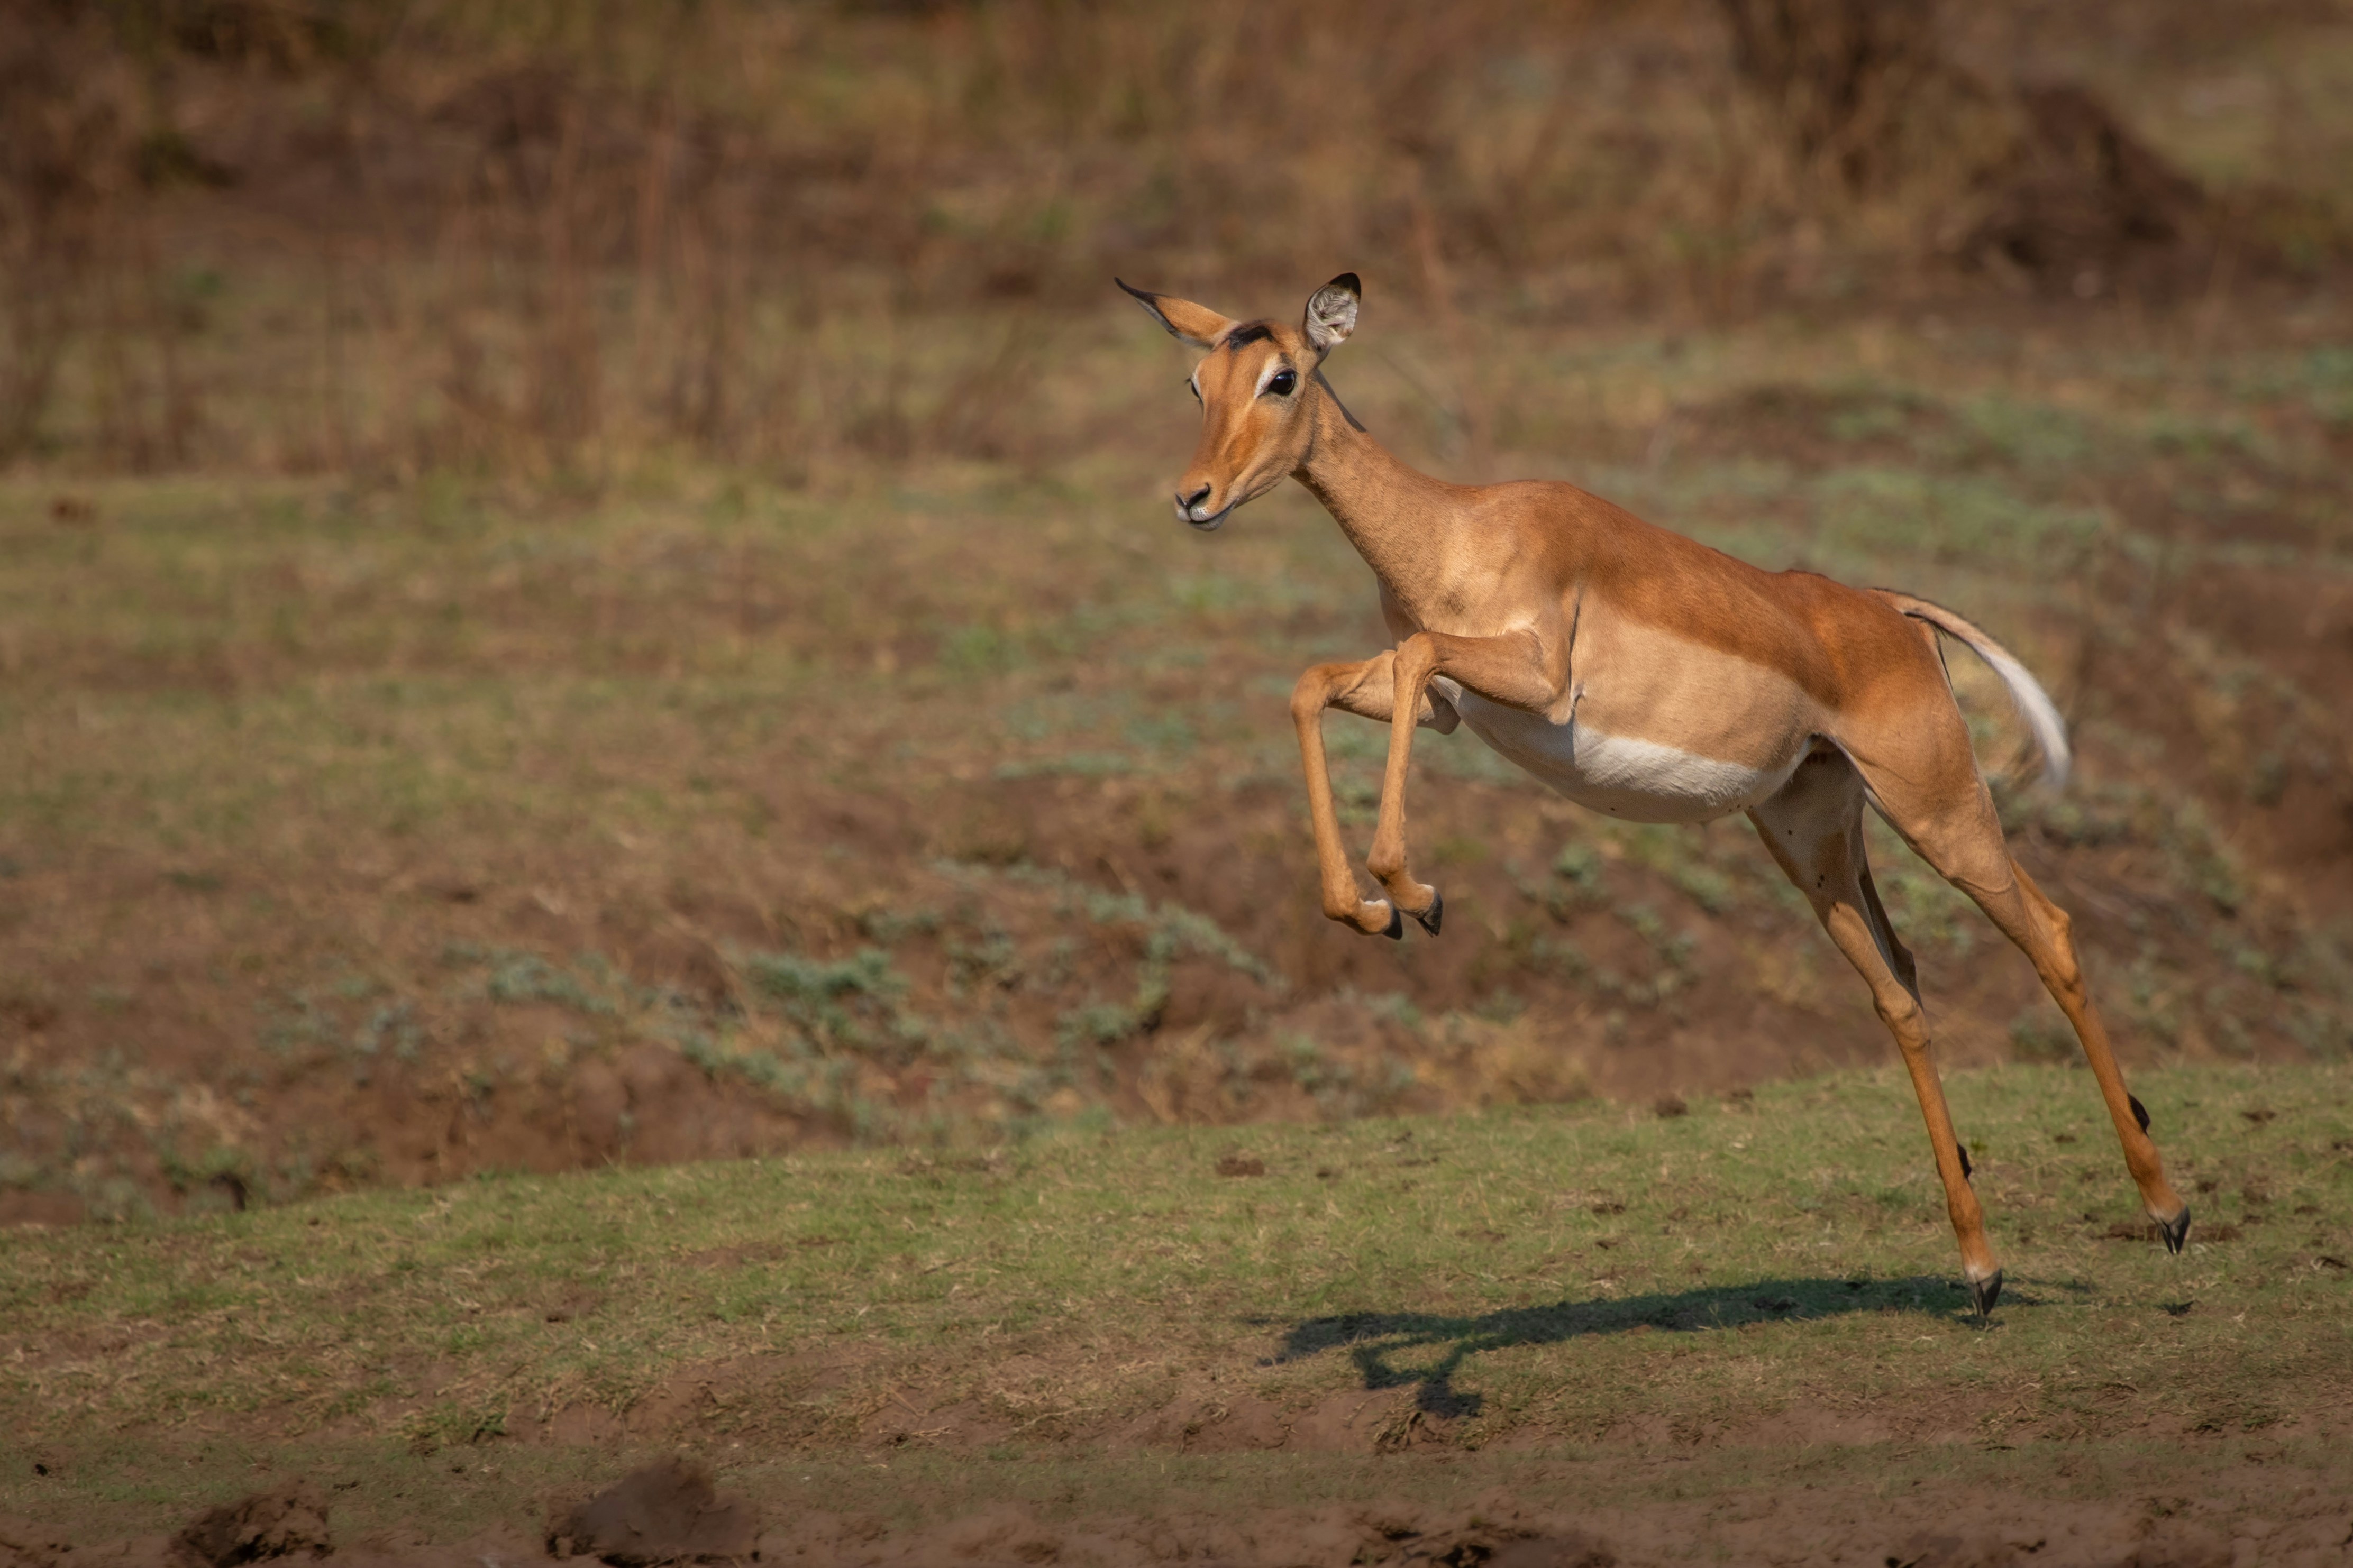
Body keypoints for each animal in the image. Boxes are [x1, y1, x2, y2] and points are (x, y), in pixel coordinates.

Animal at [1118, 271, 2190, 1315]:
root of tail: (1882, 610)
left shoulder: (1532, 681)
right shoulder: (1446, 710)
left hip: (1938, 810)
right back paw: (1979, 1270)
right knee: (1903, 991)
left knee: (2051, 935)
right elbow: (1312, 684)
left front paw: (1413, 895)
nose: (1192, 497)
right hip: (1812, 841)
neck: (1456, 532)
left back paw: (2168, 1214)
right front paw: (1374, 912)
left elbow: (1417, 653)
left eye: (1283, 378)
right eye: (1196, 383)